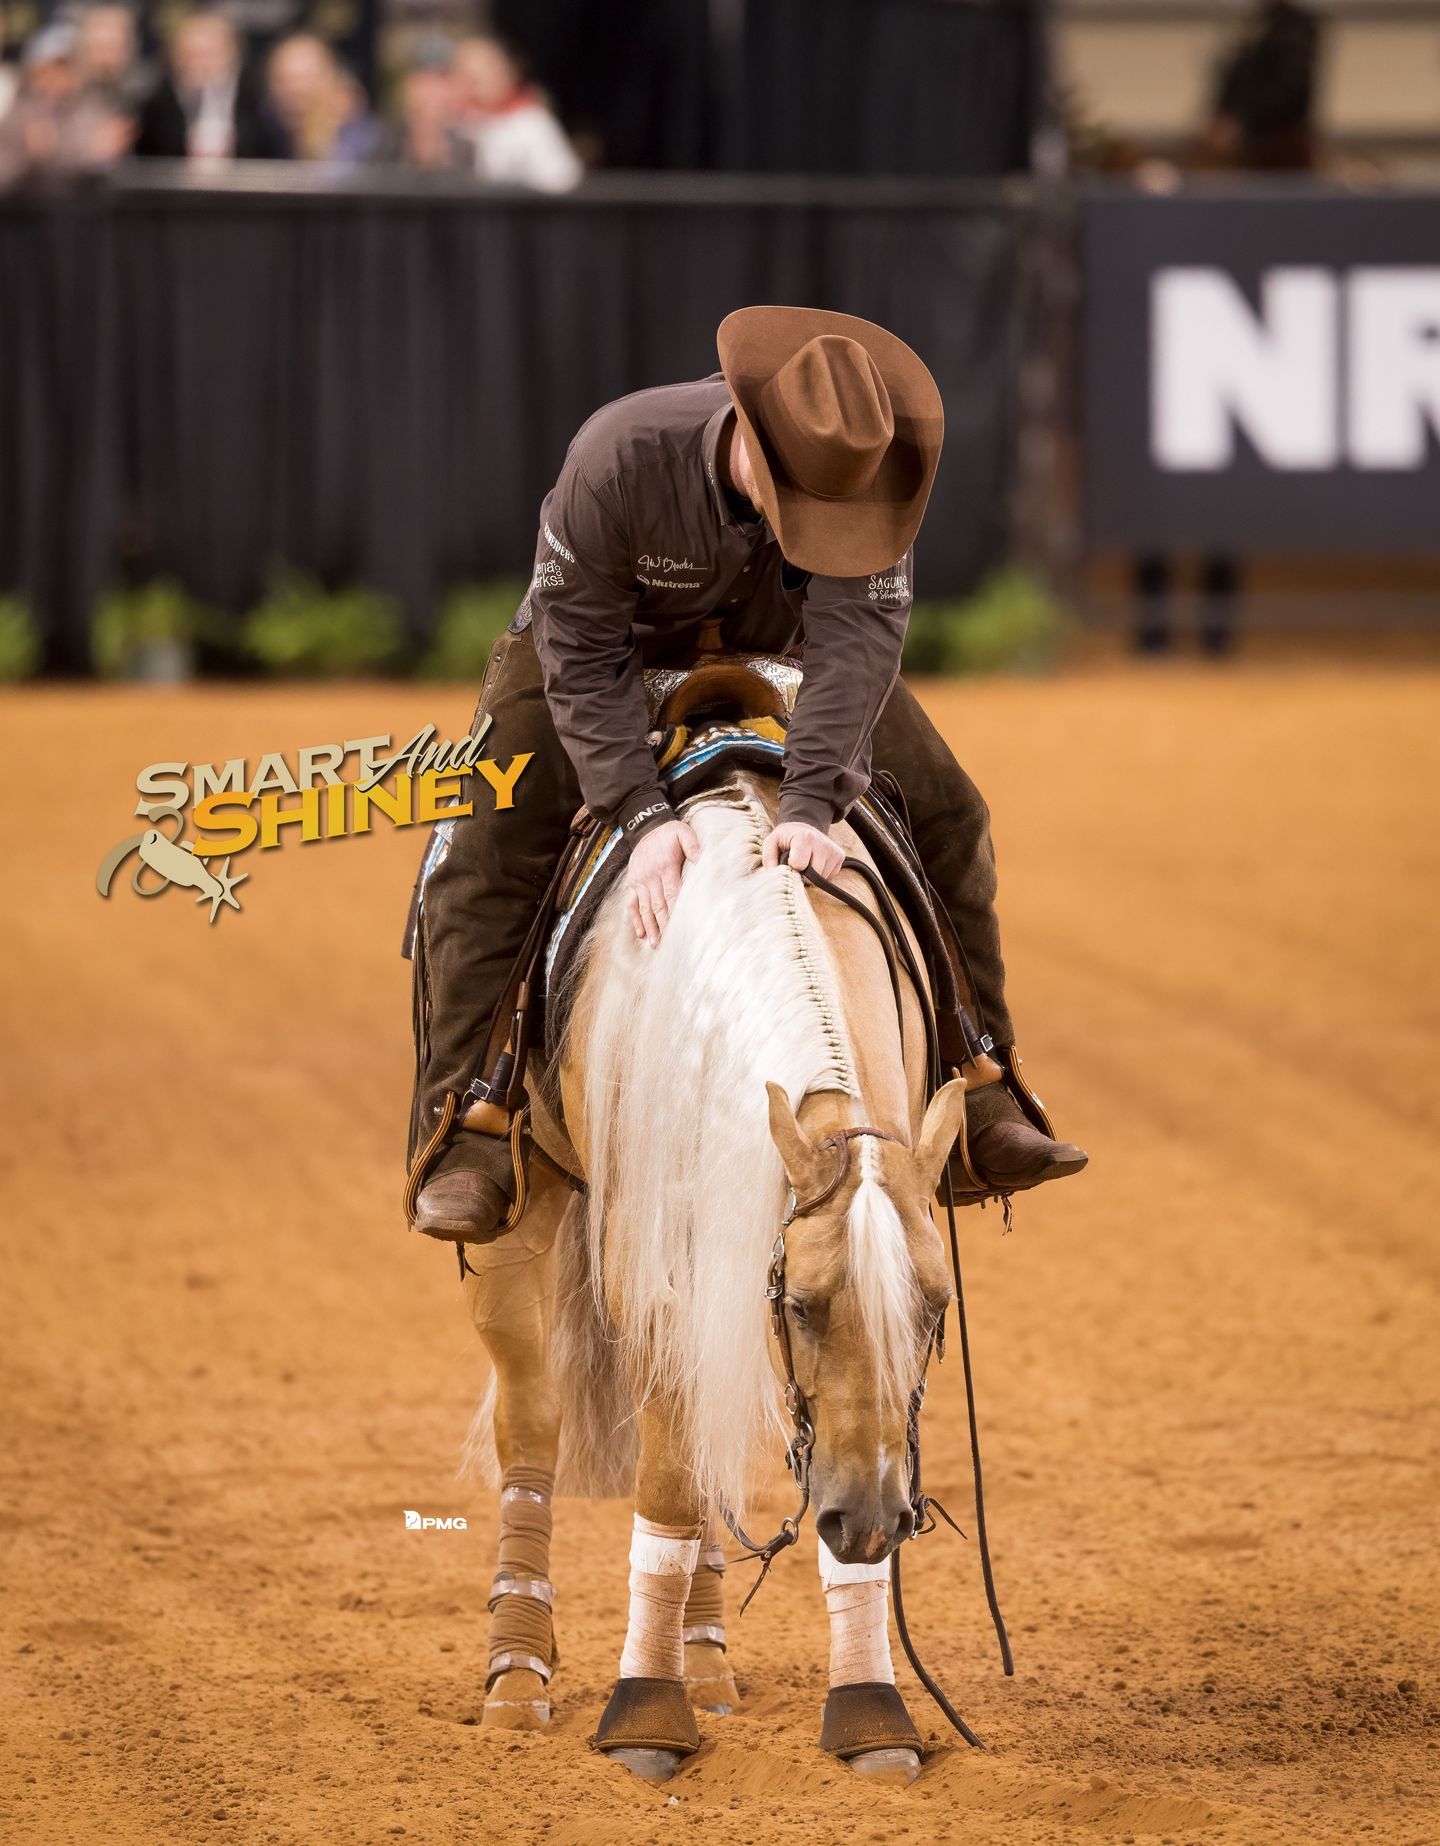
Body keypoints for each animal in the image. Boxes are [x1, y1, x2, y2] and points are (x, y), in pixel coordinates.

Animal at [458, 761, 972, 1780]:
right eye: (804, 1306)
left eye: (936, 1308)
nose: (872, 1520)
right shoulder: (652, 1270)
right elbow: (664, 1479)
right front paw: (645, 1715)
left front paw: (871, 1711)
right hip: (517, 1225)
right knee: (532, 1422)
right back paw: (518, 1676)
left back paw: (706, 1667)